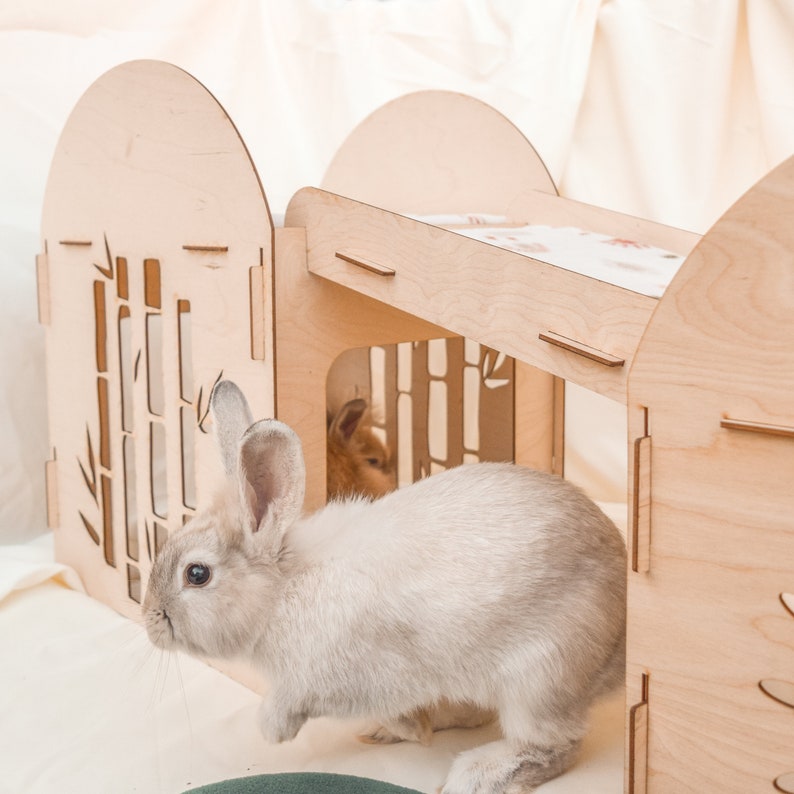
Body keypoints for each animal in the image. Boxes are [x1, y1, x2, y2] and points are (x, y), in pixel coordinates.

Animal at [143, 380, 627, 794]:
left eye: (197, 574)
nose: (149, 621)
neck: (282, 593)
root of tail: (621, 646)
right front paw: (412, 729)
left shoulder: (352, 679)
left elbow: (301, 702)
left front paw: (272, 728)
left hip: (540, 679)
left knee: (554, 746)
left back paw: (474, 774)